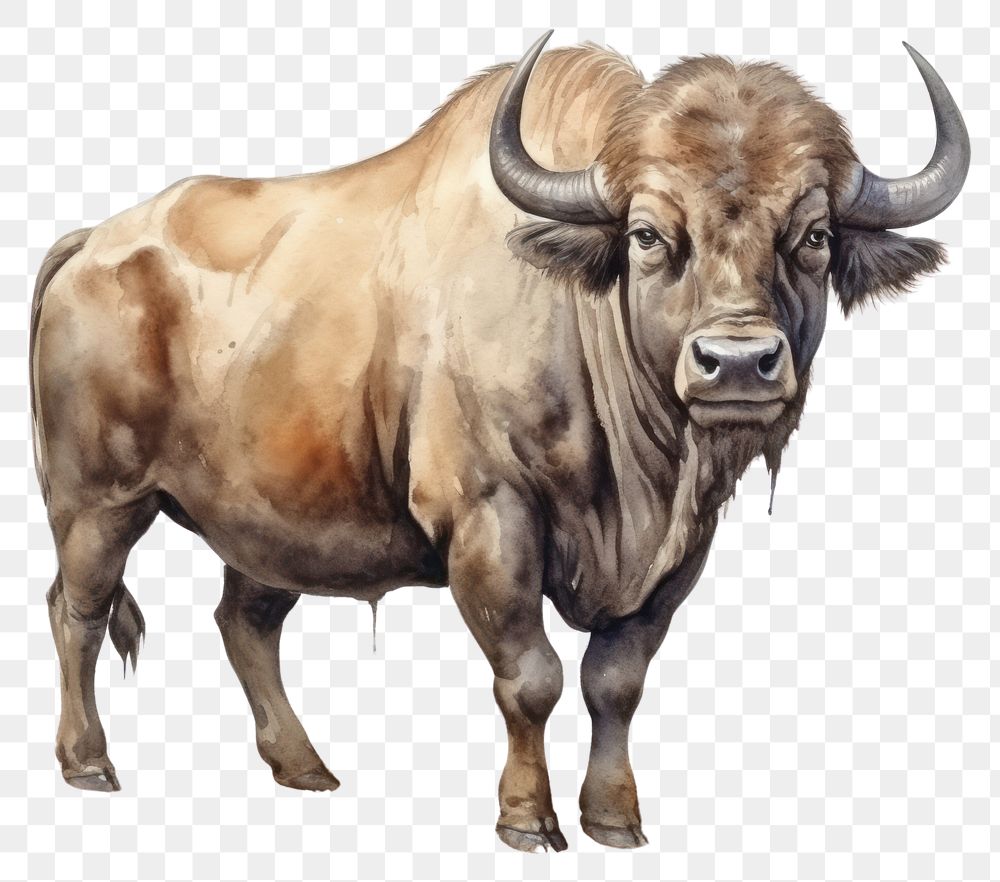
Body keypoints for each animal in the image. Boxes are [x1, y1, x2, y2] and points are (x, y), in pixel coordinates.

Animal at [30, 32, 968, 851]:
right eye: (647, 234)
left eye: (814, 236)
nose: (737, 362)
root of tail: (92, 243)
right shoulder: (490, 523)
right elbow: (532, 677)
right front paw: (528, 821)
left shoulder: (676, 557)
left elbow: (615, 681)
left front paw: (614, 821)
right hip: (98, 505)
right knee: (78, 609)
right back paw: (90, 765)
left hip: (270, 521)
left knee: (244, 620)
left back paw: (304, 768)